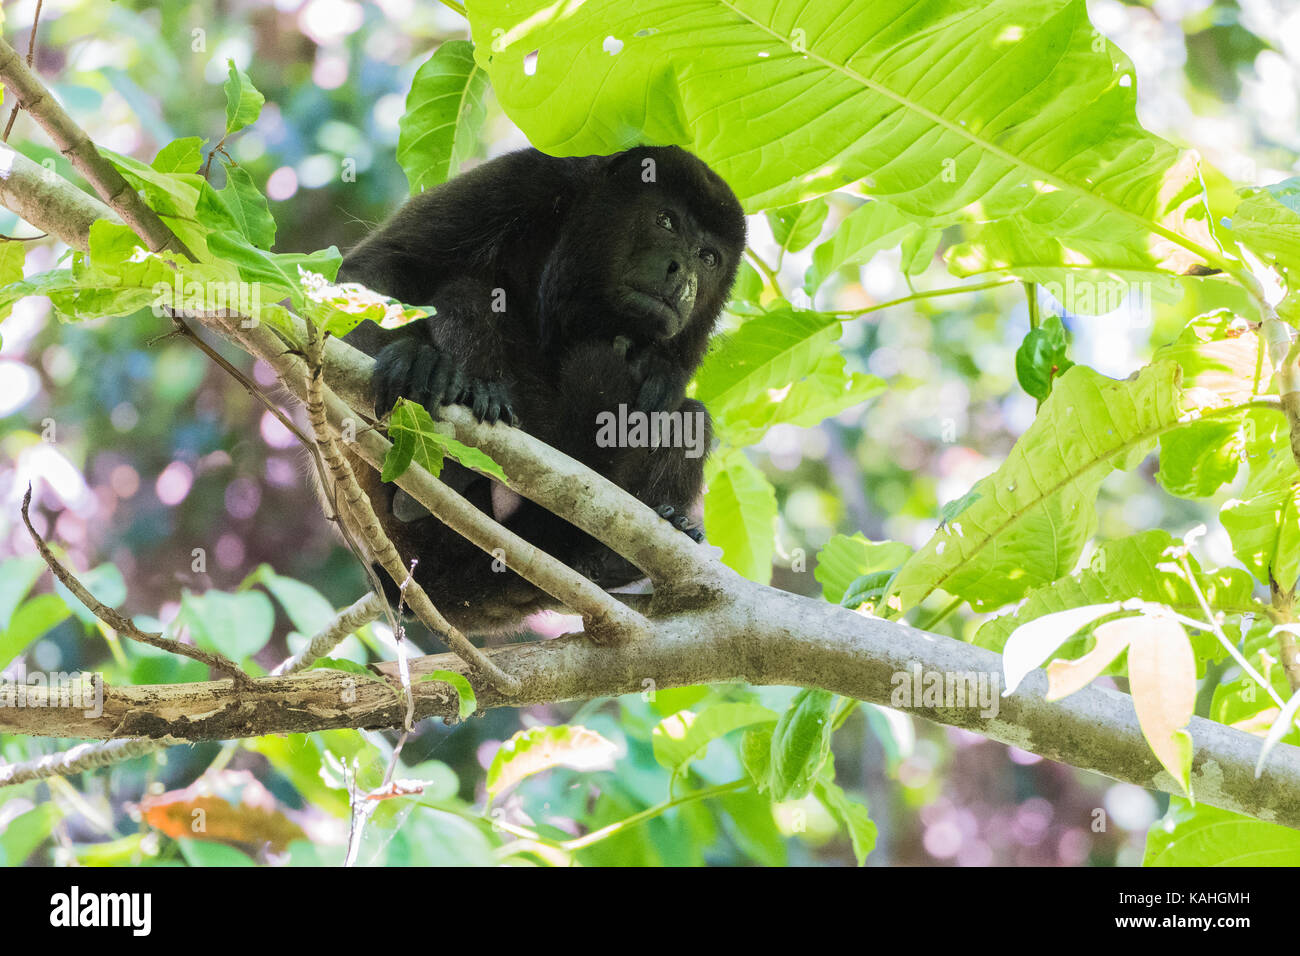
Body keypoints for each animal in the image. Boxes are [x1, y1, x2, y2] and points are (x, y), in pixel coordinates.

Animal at [333, 145, 747, 636]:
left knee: (690, 416)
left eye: (709, 257)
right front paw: (417, 360)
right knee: (468, 292)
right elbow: (385, 264)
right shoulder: (529, 176)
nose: (682, 273)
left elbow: (675, 375)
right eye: (665, 220)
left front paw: (661, 372)